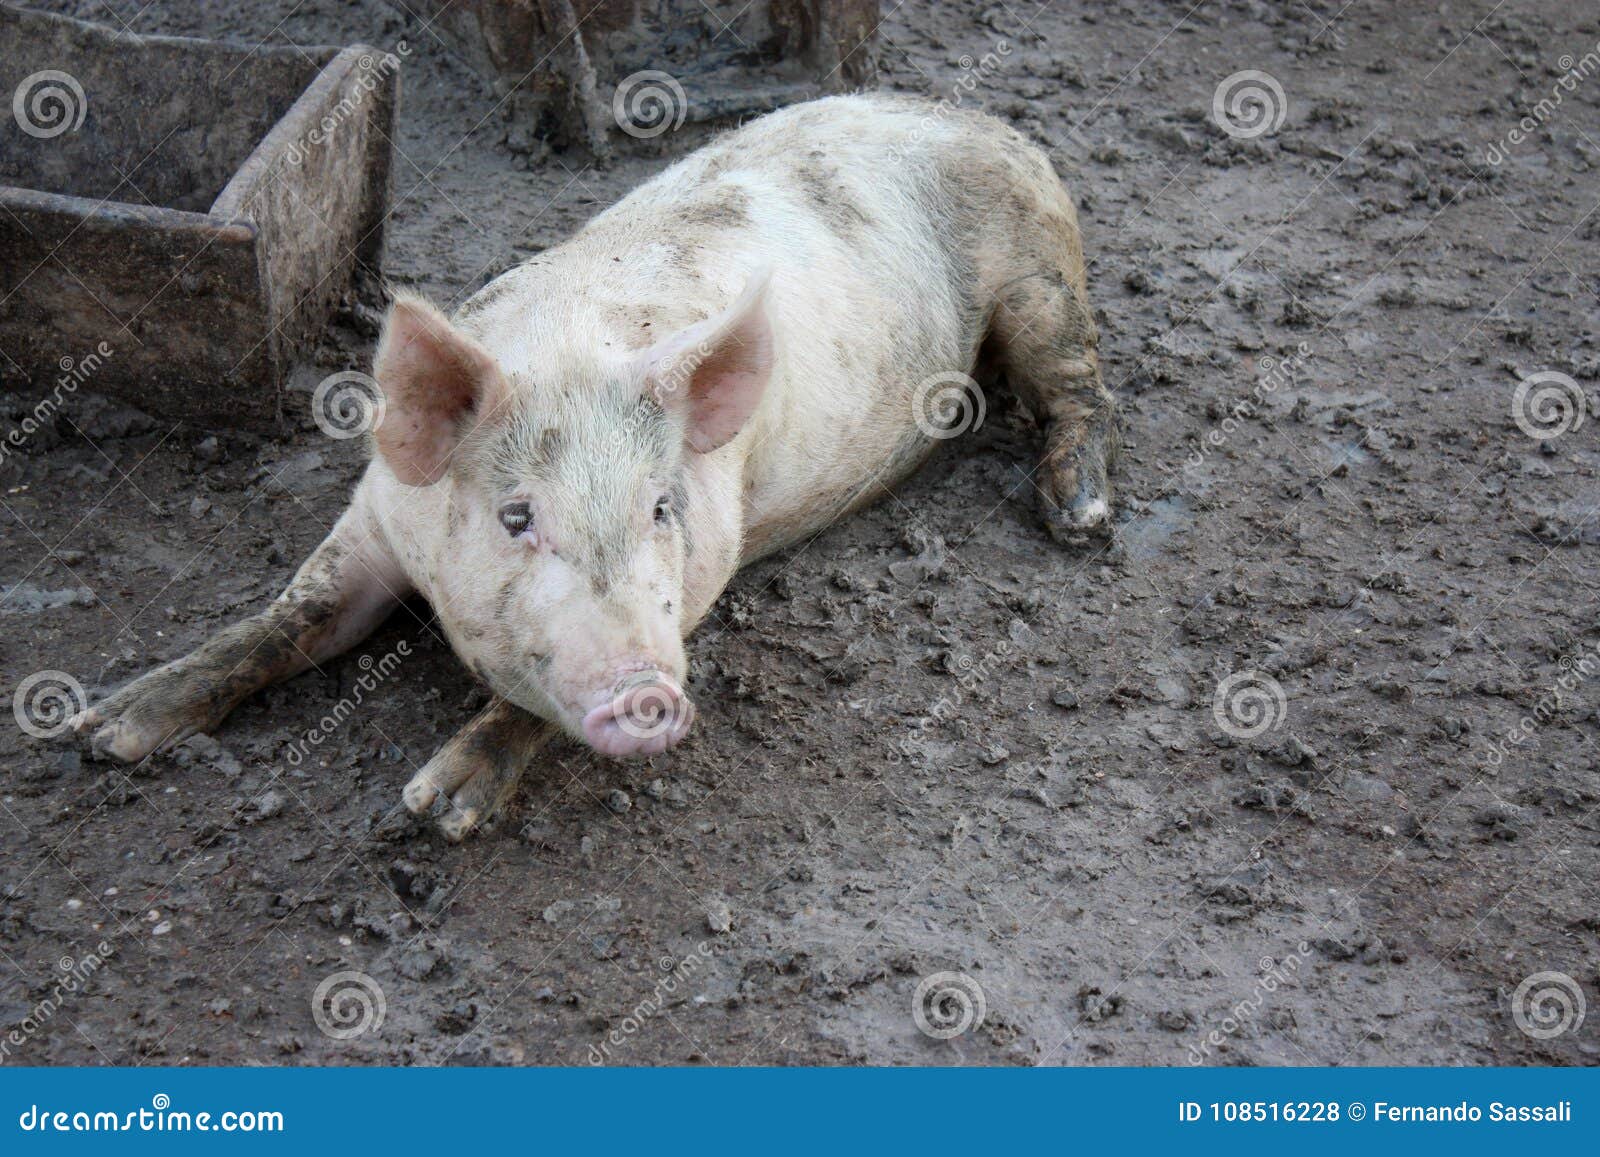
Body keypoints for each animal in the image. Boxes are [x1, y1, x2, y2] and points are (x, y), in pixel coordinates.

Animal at [67, 93, 1117, 840]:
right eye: (516, 516)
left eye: (660, 508)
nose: (645, 692)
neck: (568, 355)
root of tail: (980, 119)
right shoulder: (374, 515)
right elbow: (296, 615)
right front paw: (102, 735)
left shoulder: (710, 560)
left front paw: (438, 808)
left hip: (1041, 275)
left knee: (1081, 386)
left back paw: (1080, 512)